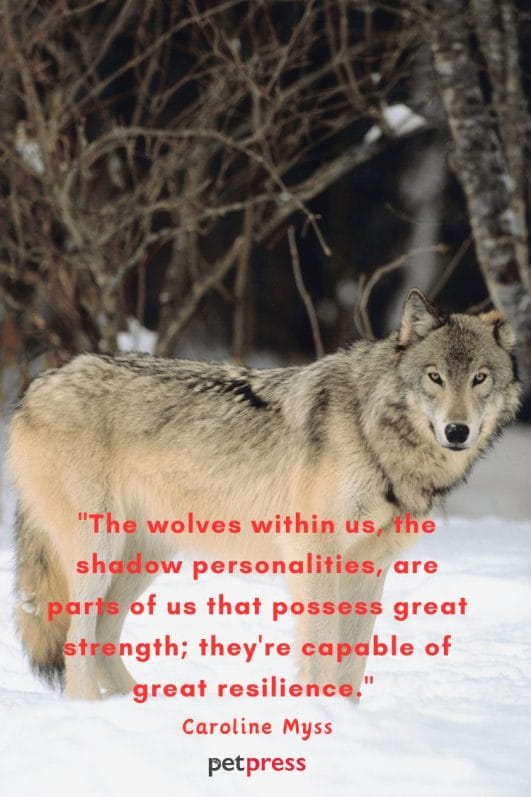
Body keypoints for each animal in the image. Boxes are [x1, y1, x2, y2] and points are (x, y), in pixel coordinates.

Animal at [7, 289, 520, 700]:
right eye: (435, 377)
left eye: (479, 378)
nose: (457, 431)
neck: (374, 433)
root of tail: (39, 386)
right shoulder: (314, 551)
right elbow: (322, 654)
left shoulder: (370, 565)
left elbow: (353, 665)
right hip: (100, 551)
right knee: (76, 641)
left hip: (144, 558)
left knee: (103, 641)